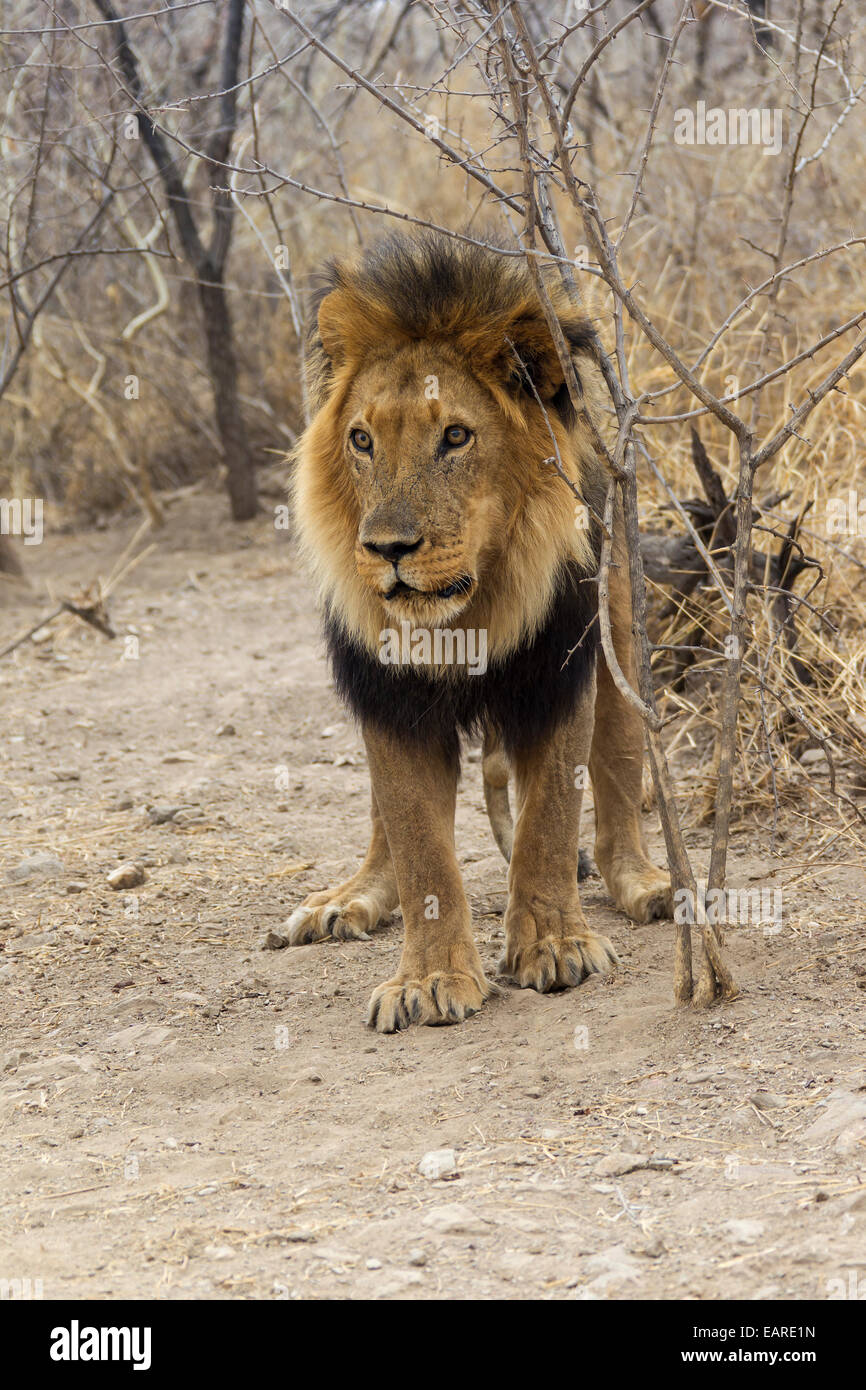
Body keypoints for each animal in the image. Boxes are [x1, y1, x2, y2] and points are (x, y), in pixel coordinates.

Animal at [287, 231, 671, 1032]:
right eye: (362, 441)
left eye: (456, 436)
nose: (388, 549)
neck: (467, 615)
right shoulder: (388, 695)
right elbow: (418, 842)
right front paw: (429, 980)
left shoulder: (556, 674)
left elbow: (550, 816)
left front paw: (555, 945)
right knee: (383, 829)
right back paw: (352, 898)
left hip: (618, 632)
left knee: (618, 782)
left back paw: (646, 883)